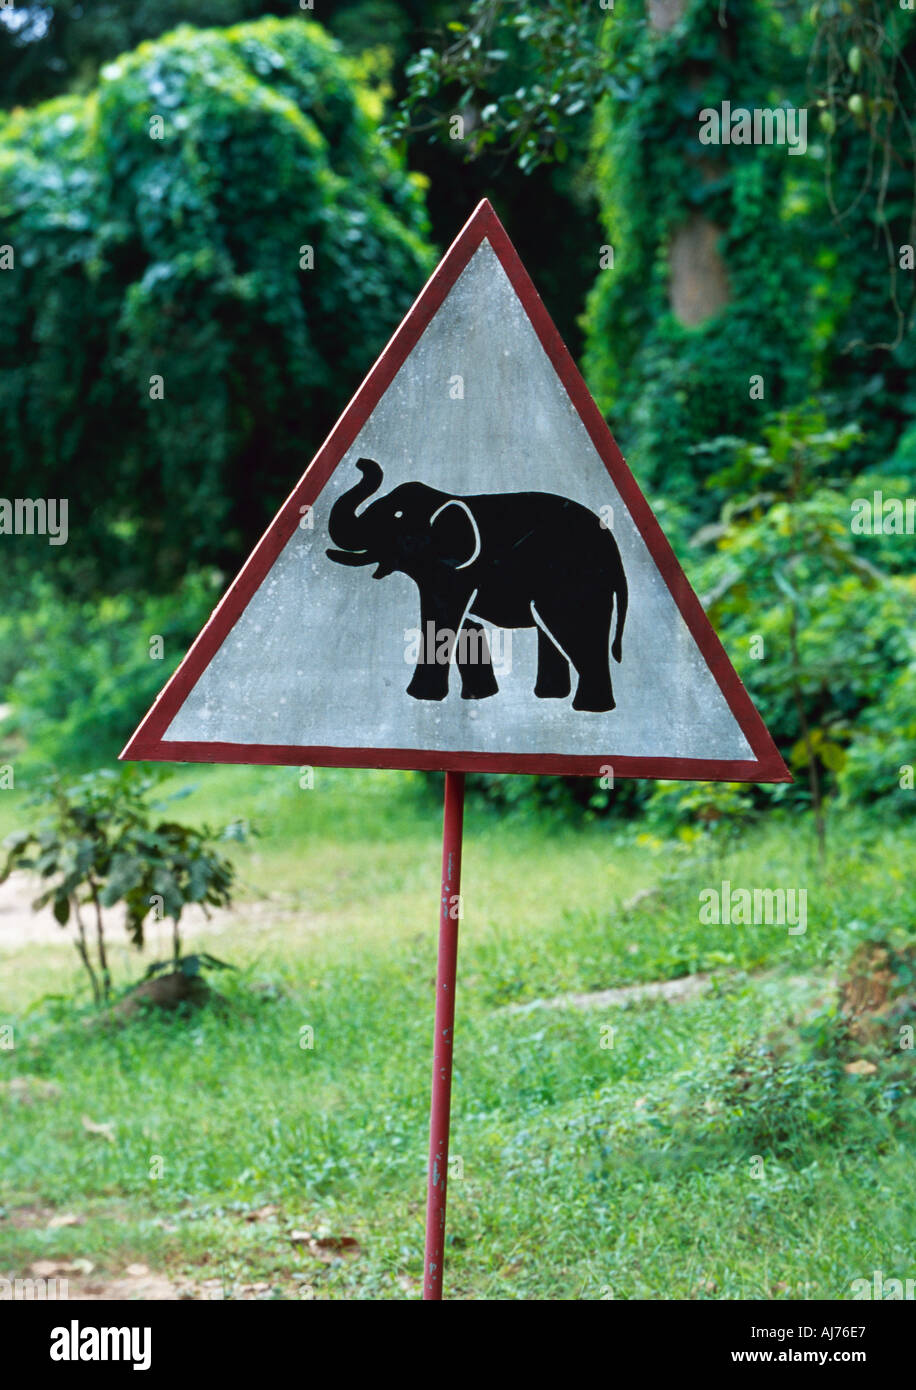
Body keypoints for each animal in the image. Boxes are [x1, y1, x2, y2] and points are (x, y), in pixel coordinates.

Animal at [326, 457, 628, 712]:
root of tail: (616, 555)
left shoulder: (454, 573)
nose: (361, 462)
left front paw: (422, 697)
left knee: (575, 633)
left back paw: (589, 710)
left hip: (578, 583)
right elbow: (466, 624)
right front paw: (481, 696)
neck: (443, 499)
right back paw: (551, 698)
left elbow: (441, 618)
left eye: (397, 516)